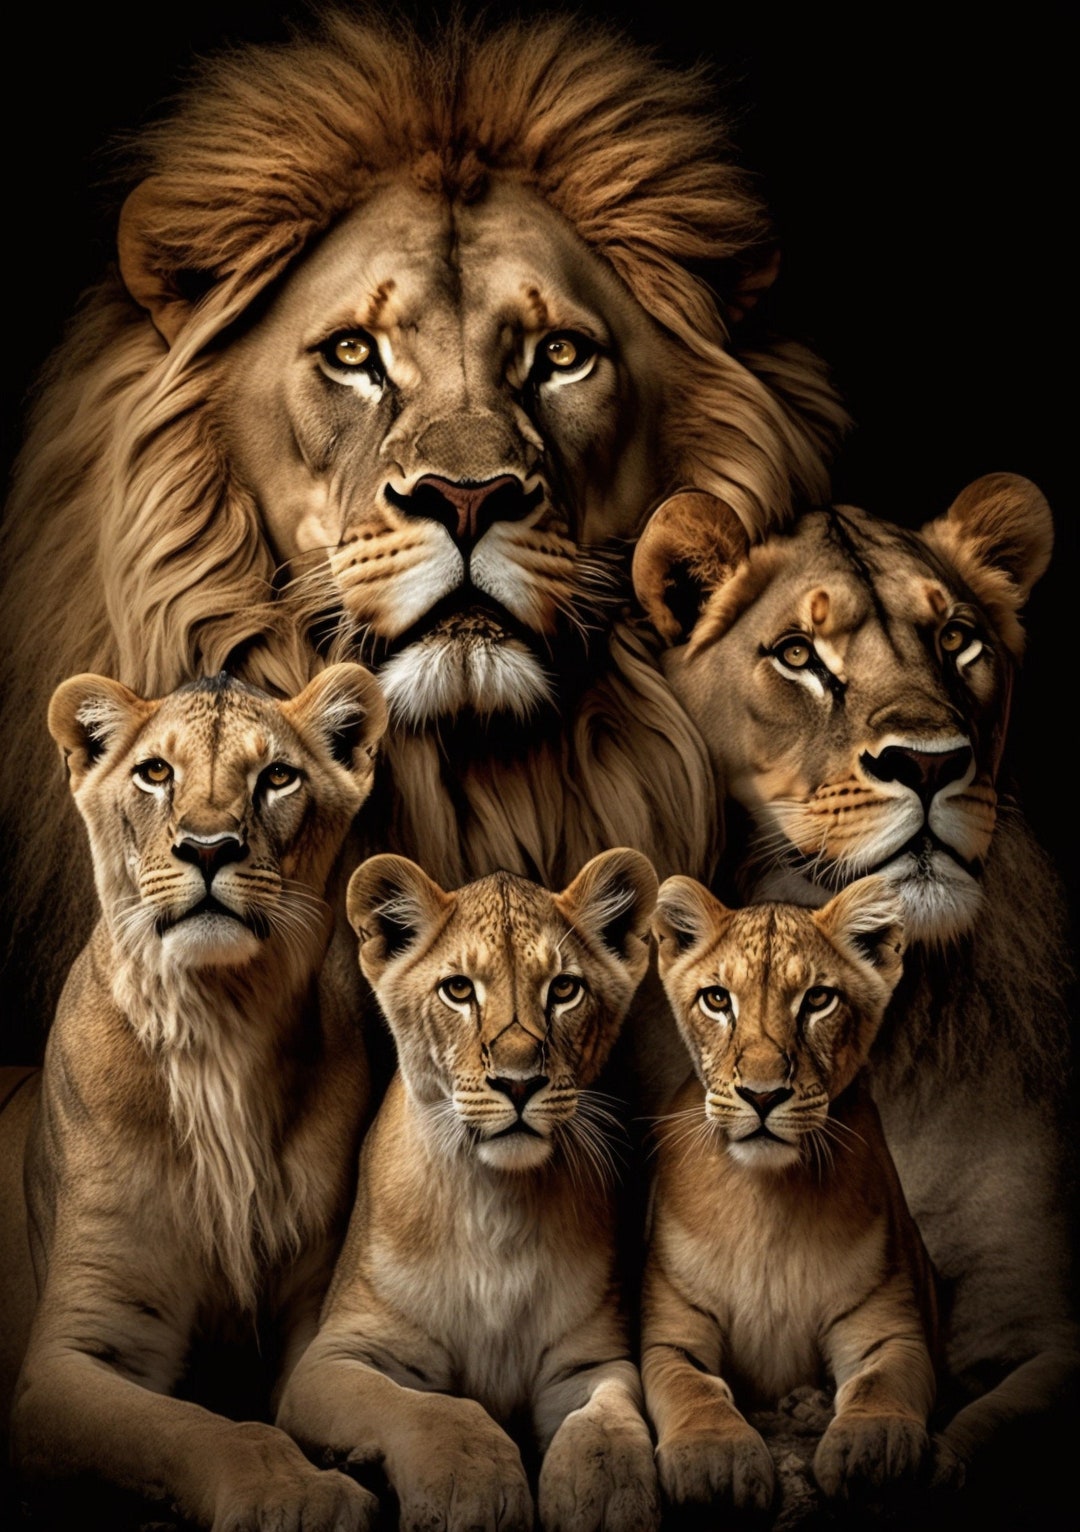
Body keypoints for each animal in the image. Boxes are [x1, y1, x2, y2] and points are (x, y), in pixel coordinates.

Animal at [6, 666, 388, 1530]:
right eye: (155, 772)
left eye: (276, 776)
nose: (209, 848)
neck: (219, 1026)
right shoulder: (76, 1353)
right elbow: (198, 1428)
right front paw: (295, 1494)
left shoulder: (316, 1305)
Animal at [276, 849, 661, 1532]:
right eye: (458, 989)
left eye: (564, 989)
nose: (519, 1082)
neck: (495, 1202)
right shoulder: (333, 1358)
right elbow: (433, 1409)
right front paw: (474, 1485)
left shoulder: (589, 1357)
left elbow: (604, 1418)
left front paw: (609, 1492)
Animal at [645, 874, 938, 1515]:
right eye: (717, 1000)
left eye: (818, 1000)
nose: (761, 1095)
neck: (769, 1197)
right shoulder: (671, 1333)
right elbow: (693, 1388)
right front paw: (716, 1458)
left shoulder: (889, 1326)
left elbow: (882, 1383)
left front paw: (871, 1448)